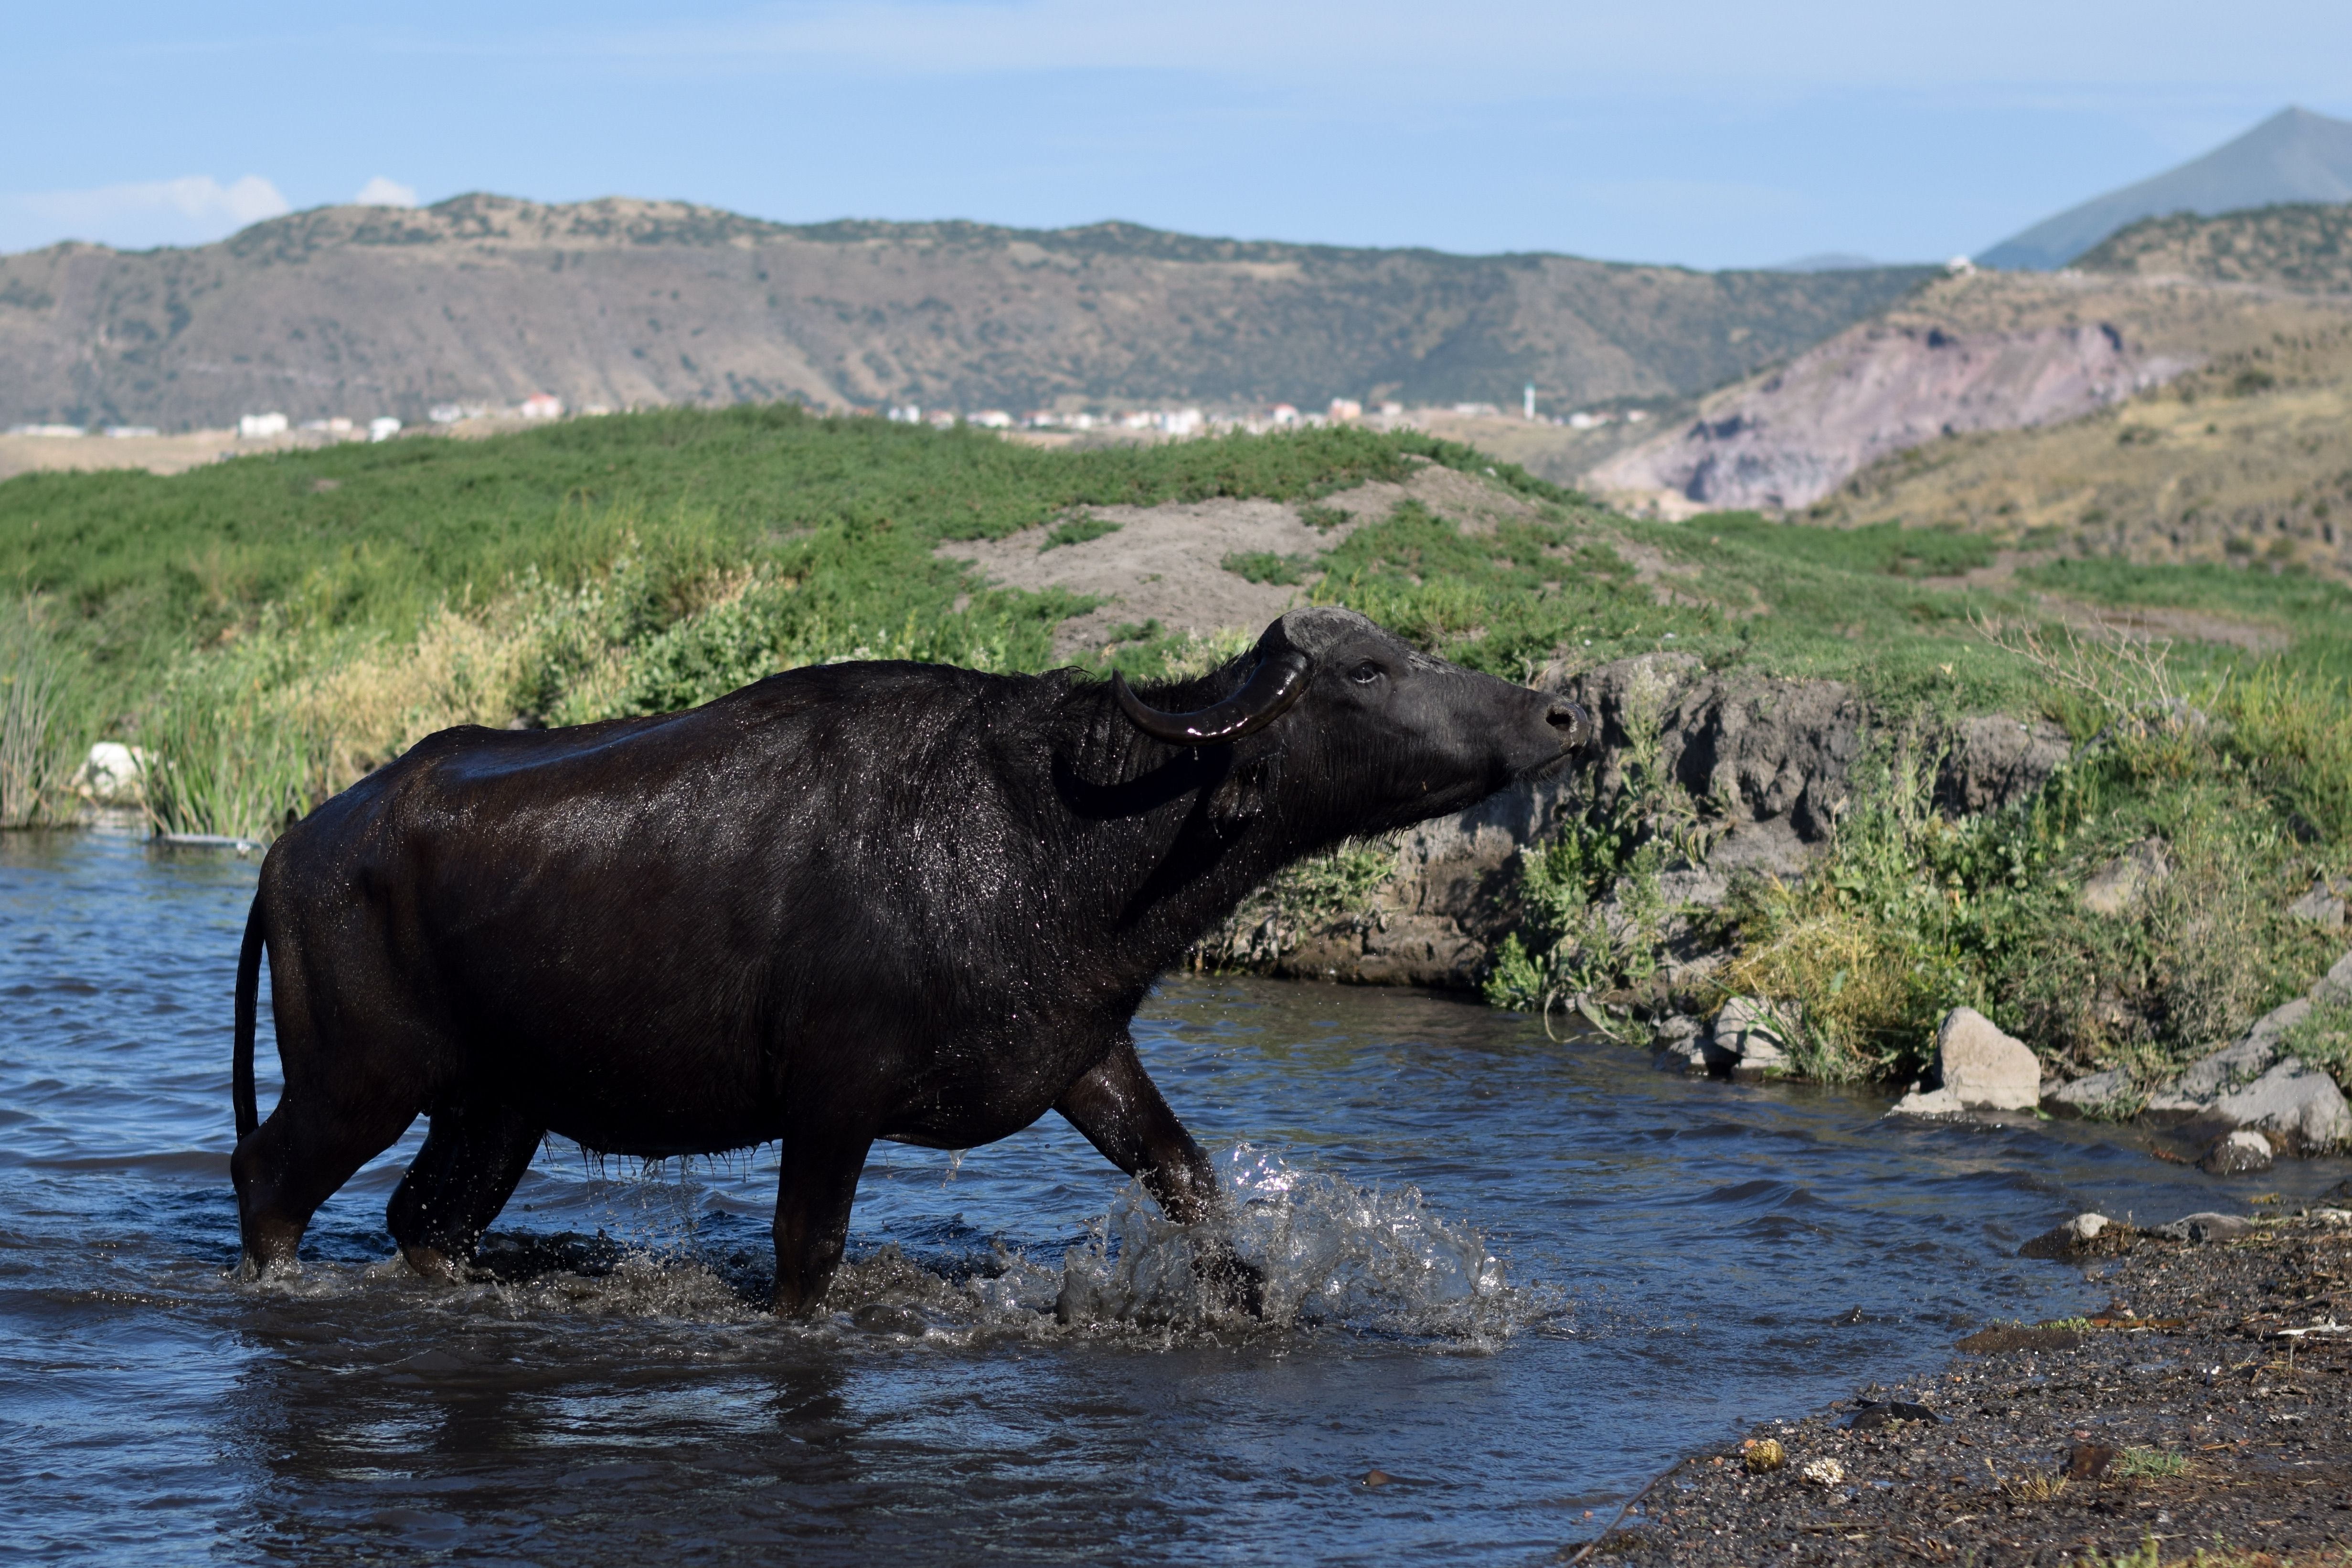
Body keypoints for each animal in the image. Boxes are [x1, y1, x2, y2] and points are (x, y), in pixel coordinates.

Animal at [231, 606, 1588, 1313]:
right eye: (1366, 670)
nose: (1561, 712)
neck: (1054, 833)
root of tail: (300, 838)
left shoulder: (1083, 1054)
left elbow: (1188, 1179)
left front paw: (1248, 1295)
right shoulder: (833, 1097)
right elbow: (806, 1253)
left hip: (496, 1106)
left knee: (424, 1219)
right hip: (357, 1080)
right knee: (269, 1180)